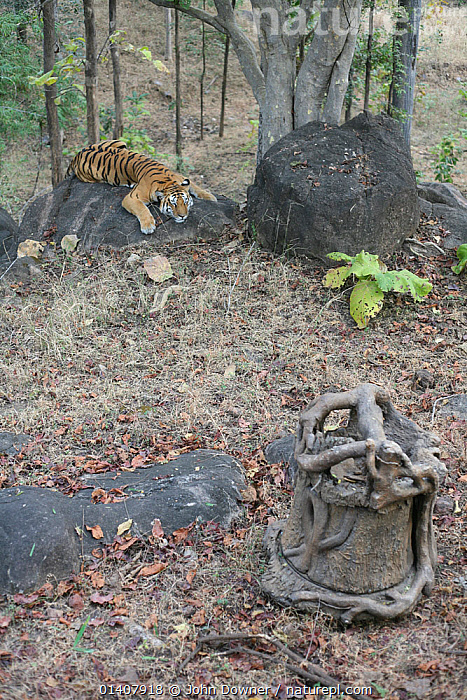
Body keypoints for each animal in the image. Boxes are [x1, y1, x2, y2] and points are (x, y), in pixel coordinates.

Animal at [66, 140, 217, 234]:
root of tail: (78, 154)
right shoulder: (132, 197)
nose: (183, 216)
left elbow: (195, 186)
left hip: (120, 142)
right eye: (173, 204)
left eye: (185, 202)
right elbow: (142, 208)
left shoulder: (181, 177)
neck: (168, 182)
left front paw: (210, 197)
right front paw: (148, 226)